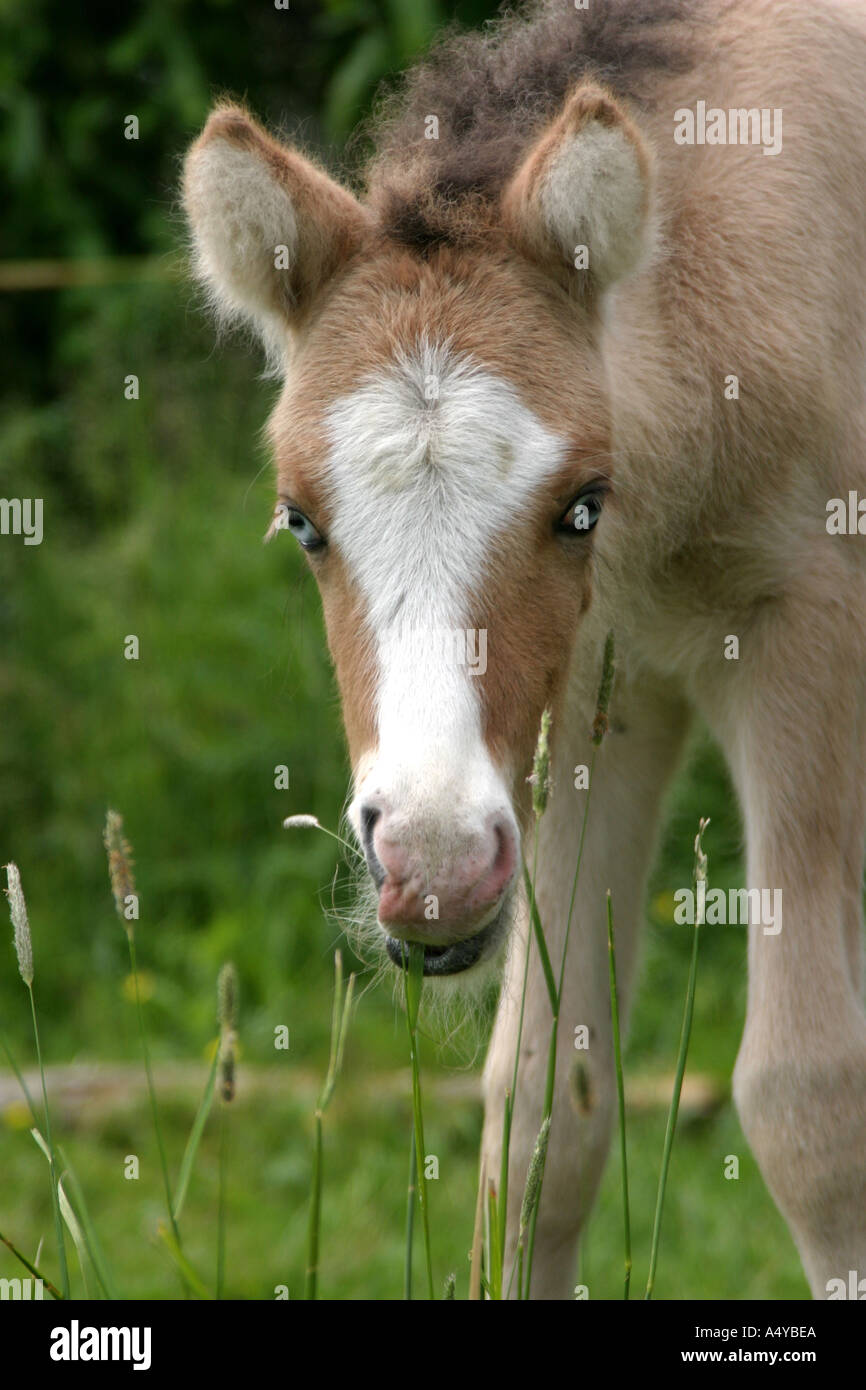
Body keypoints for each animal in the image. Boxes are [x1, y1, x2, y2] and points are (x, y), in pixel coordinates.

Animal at [183, 0, 866, 1298]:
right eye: (301, 521)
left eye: (580, 506)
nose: (433, 862)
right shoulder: (601, 690)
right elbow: (543, 1109)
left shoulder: (803, 631)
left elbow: (805, 1102)